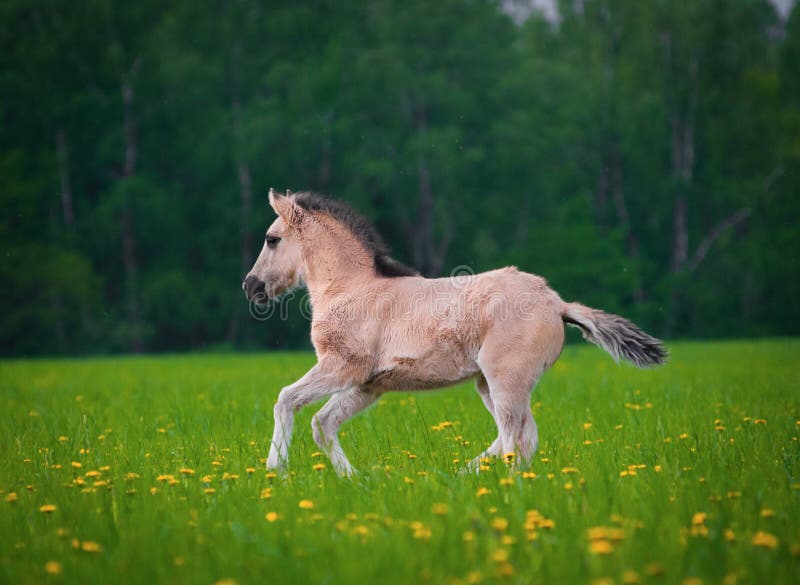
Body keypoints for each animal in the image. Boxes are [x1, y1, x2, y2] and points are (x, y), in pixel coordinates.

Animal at [243, 189, 666, 475]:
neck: (352, 287)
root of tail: (558, 303)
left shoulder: (342, 367)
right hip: (487, 384)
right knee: (521, 438)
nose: (251, 286)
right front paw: (353, 479)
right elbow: (322, 423)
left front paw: (274, 470)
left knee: (514, 438)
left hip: (505, 379)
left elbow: (286, 400)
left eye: (271, 239)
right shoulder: (368, 384)